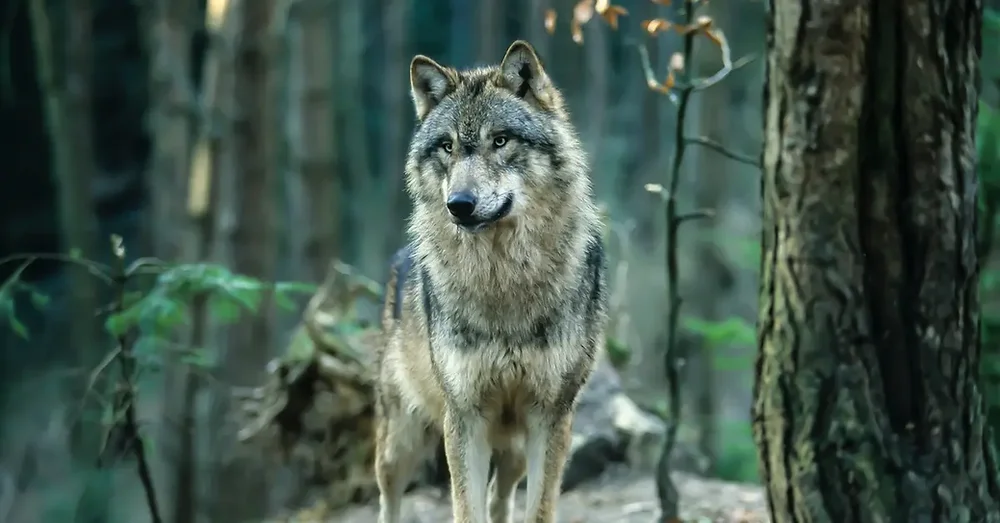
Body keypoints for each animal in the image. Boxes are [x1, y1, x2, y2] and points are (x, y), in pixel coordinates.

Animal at [374, 40, 609, 523]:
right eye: (446, 146)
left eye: (500, 140)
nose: (459, 204)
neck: (503, 281)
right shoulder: (465, 416)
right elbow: (467, 508)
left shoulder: (551, 416)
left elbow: (537, 509)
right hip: (399, 442)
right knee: (388, 498)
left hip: (514, 448)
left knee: (503, 497)